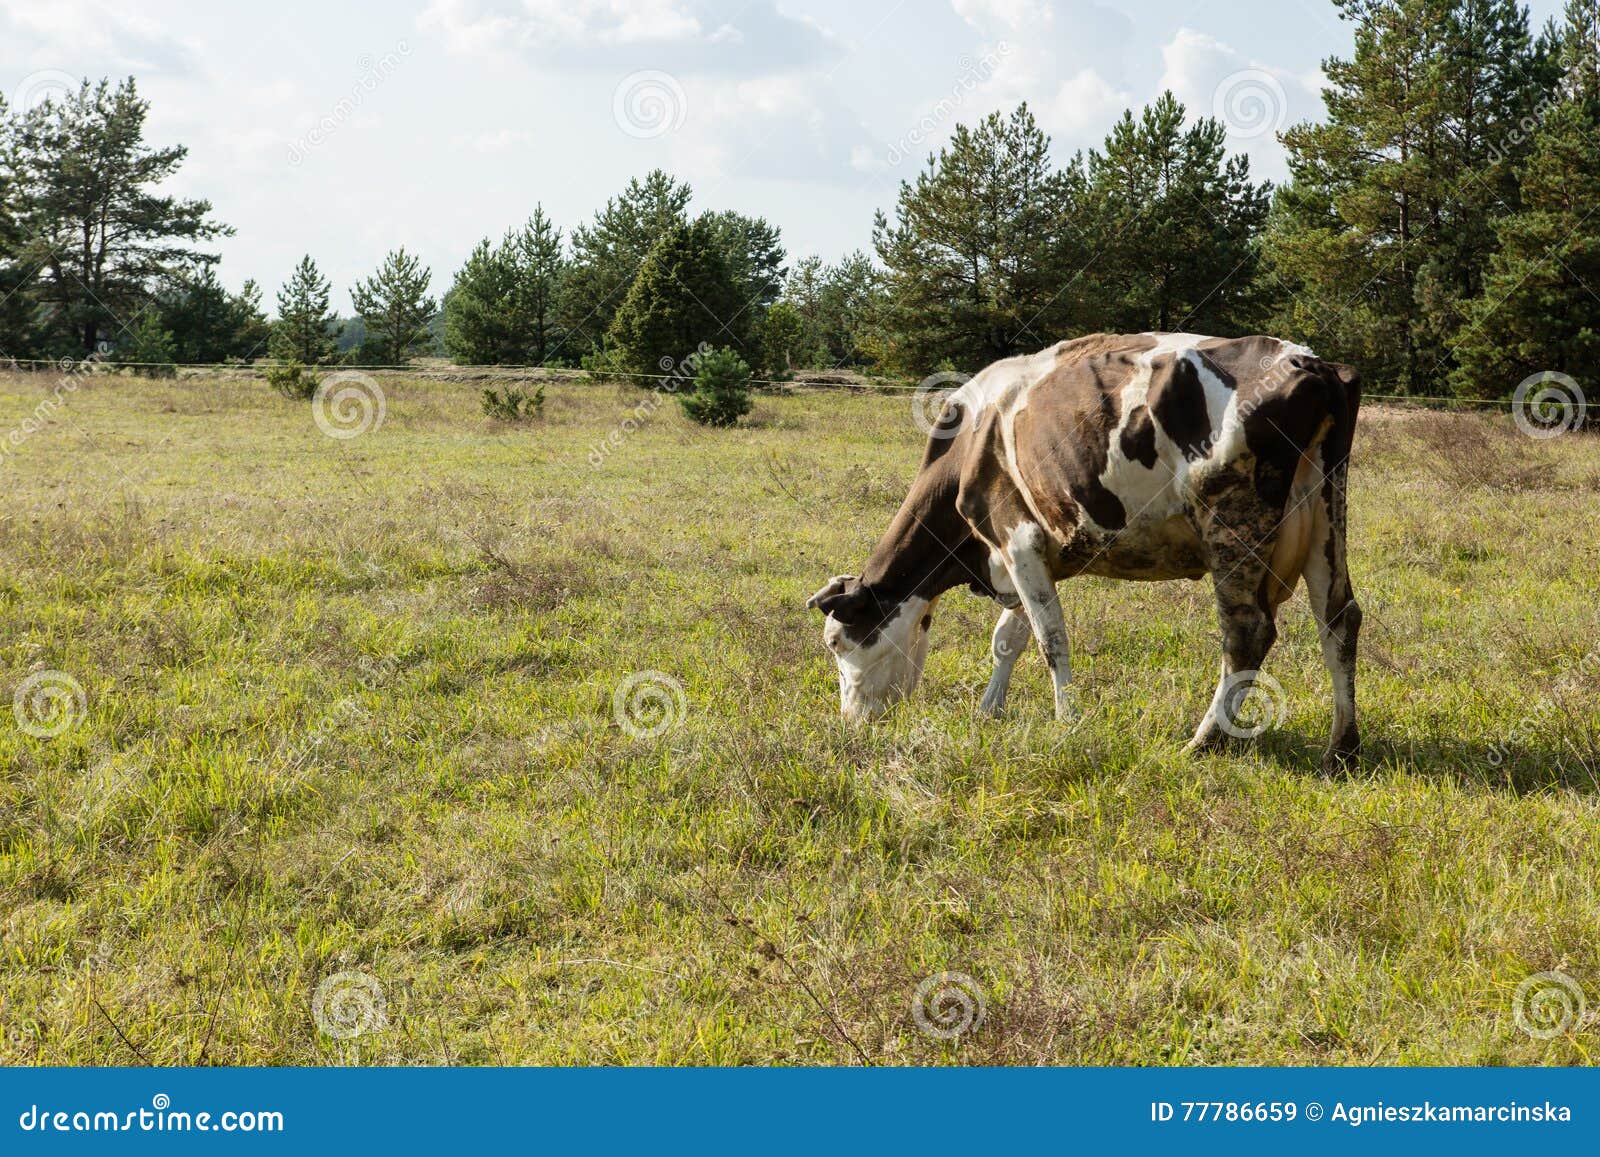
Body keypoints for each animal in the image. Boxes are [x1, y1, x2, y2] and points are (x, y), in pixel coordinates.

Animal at [807, 332, 1362, 774]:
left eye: (836, 641)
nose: (851, 722)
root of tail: (1313, 364)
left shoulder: (1017, 537)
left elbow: (1050, 638)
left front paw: (1067, 720)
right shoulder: (1024, 557)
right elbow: (1009, 639)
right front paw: (989, 710)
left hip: (1232, 522)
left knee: (1247, 633)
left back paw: (1203, 742)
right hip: (1325, 515)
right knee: (1339, 619)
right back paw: (1341, 749)